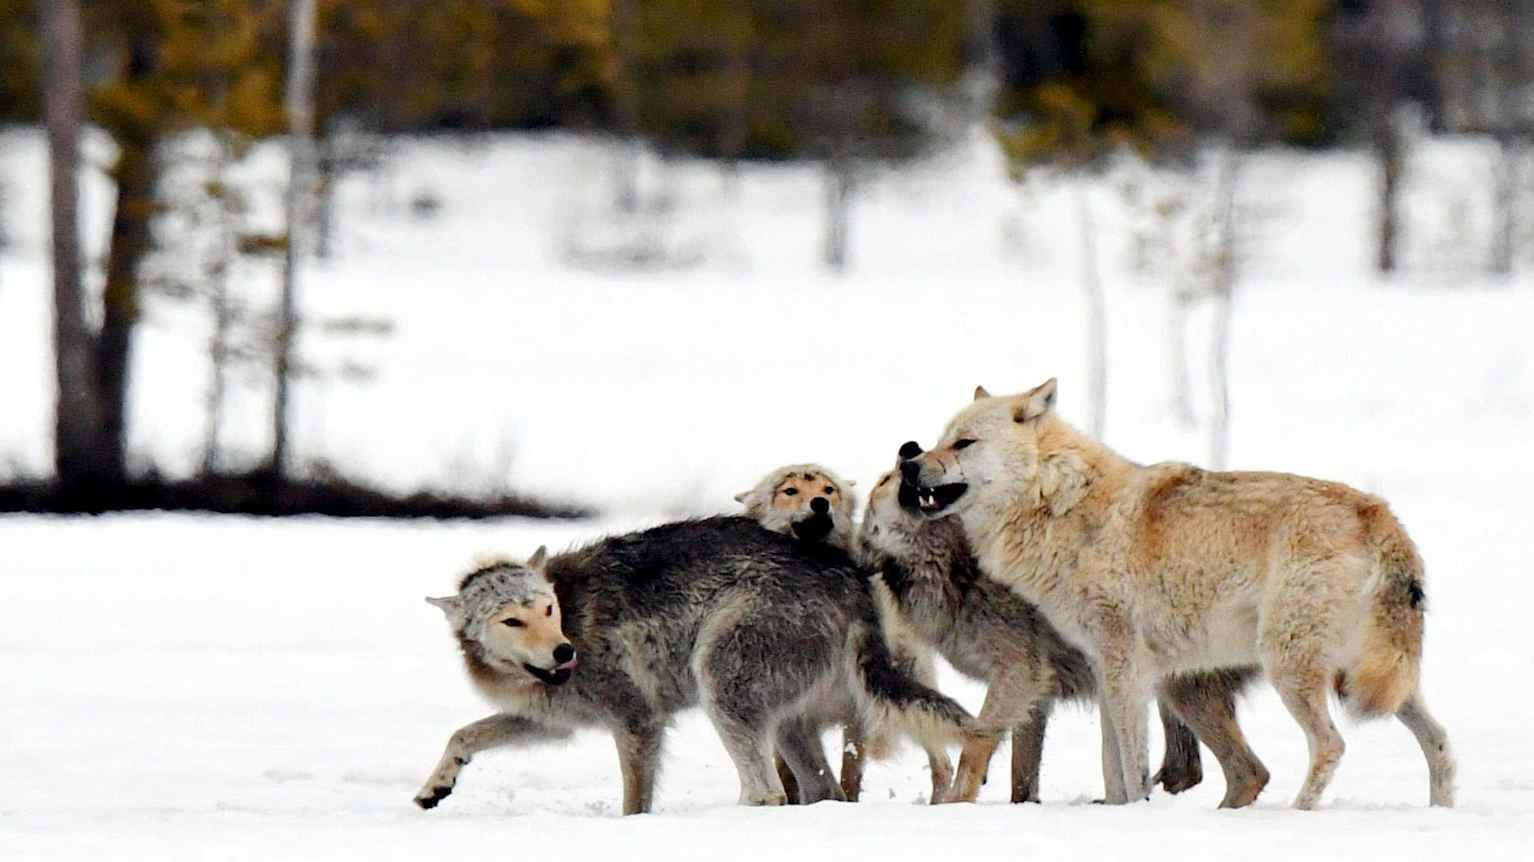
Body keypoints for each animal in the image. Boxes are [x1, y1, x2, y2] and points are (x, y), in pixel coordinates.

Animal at [415, 517, 987, 814]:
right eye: (511, 620)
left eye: (548, 609)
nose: (563, 652)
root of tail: (846, 577)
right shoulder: (550, 722)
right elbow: (462, 735)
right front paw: (434, 788)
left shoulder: (637, 721)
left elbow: (634, 802)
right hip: (786, 725)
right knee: (820, 792)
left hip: (722, 690)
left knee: (766, 793)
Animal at [737, 463, 952, 803]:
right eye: (789, 491)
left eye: (828, 490)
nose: (820, 503)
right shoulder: (788, 716)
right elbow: (787, 770)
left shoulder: (857, 712)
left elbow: (850, 772)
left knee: (942, 763)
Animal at [861, 459, 1266, 805]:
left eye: (886, 477)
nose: (909, 451)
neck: (956, 568)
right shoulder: (1035, 698)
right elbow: (1022, 778)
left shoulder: (1020, 675)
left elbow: (977, 741)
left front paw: (958, 802)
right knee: (1209, 770)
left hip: (1174, 689)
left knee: (1244, 772)